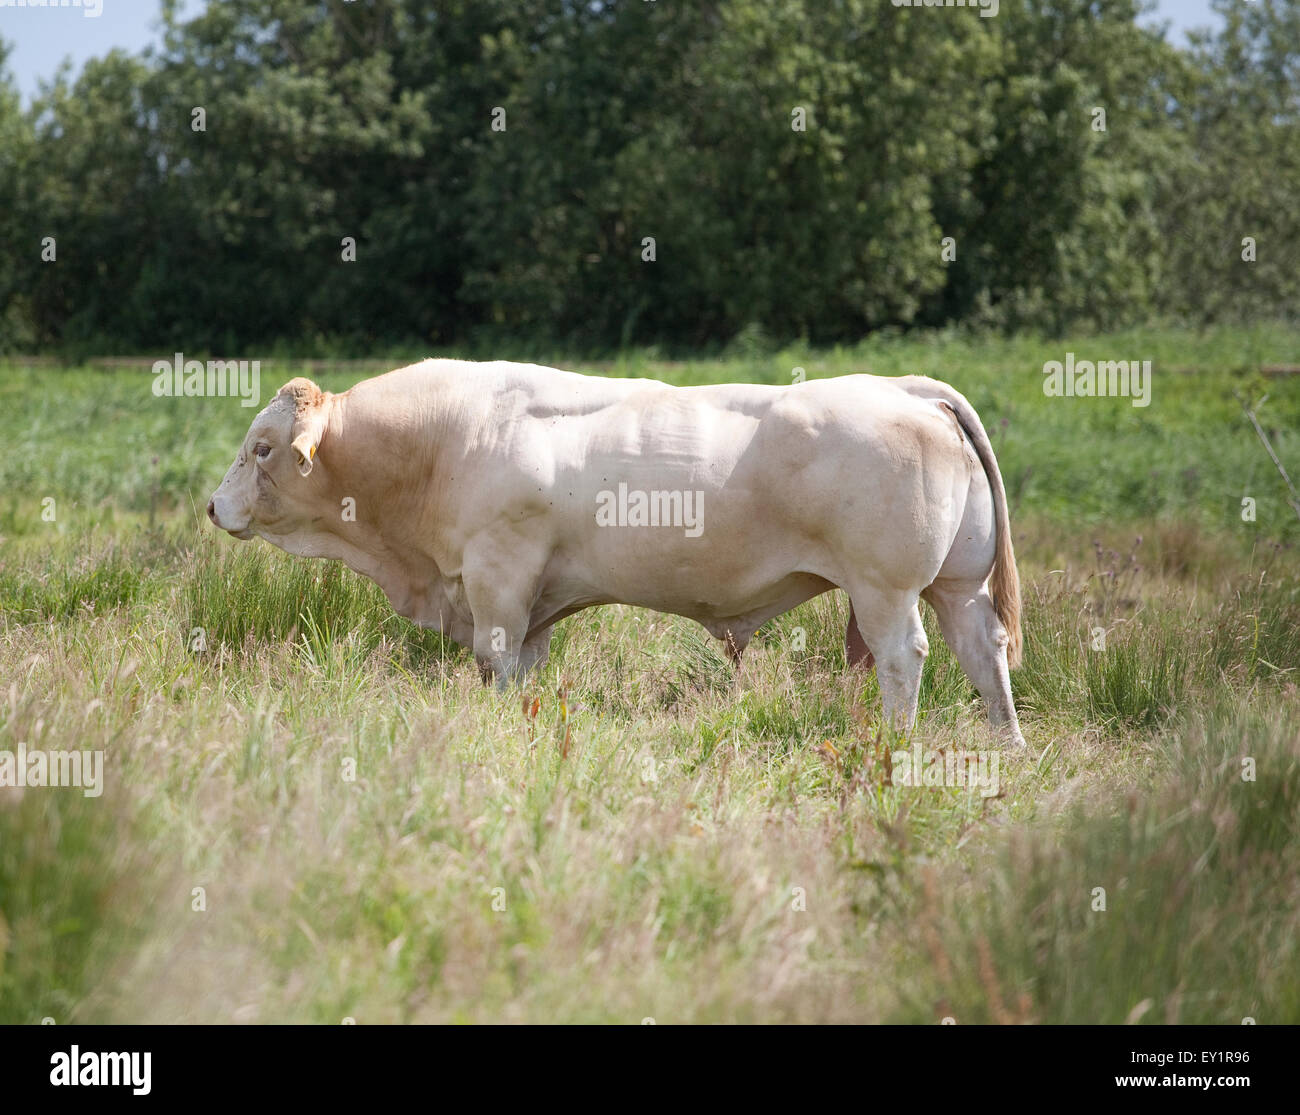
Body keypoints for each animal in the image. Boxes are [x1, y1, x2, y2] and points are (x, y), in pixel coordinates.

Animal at [208, 361, 1025, 745]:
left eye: (262, 447)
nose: (214, 506)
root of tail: (909, 389)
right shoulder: (534, 600)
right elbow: (524, 671)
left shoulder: (497, 576)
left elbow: (496, 663)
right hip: (958, 584)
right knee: (984, 653)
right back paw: (1008, 744)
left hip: (887, 588)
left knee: (903, 656)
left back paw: (895, 743)